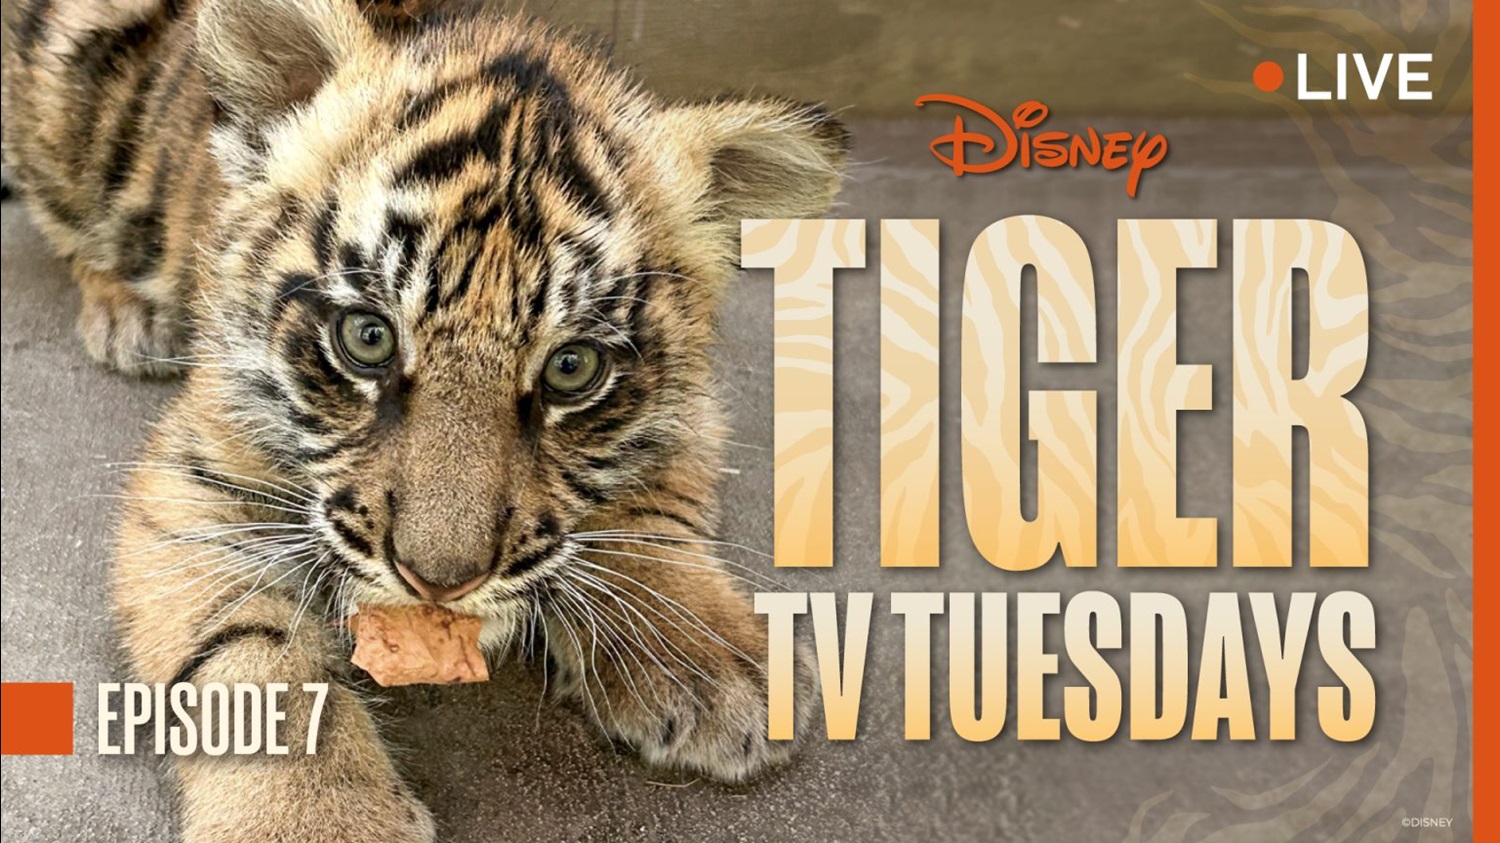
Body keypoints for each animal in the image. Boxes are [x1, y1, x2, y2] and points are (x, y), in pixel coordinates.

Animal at [2, 0, 846, 839]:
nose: (440, 581)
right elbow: (248, 648)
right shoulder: (195, 477)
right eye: (367, 337)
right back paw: (128, 314)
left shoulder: (692, 402)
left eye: (572, 367)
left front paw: (716, 661)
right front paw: (316, 818)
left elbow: (653, 502)